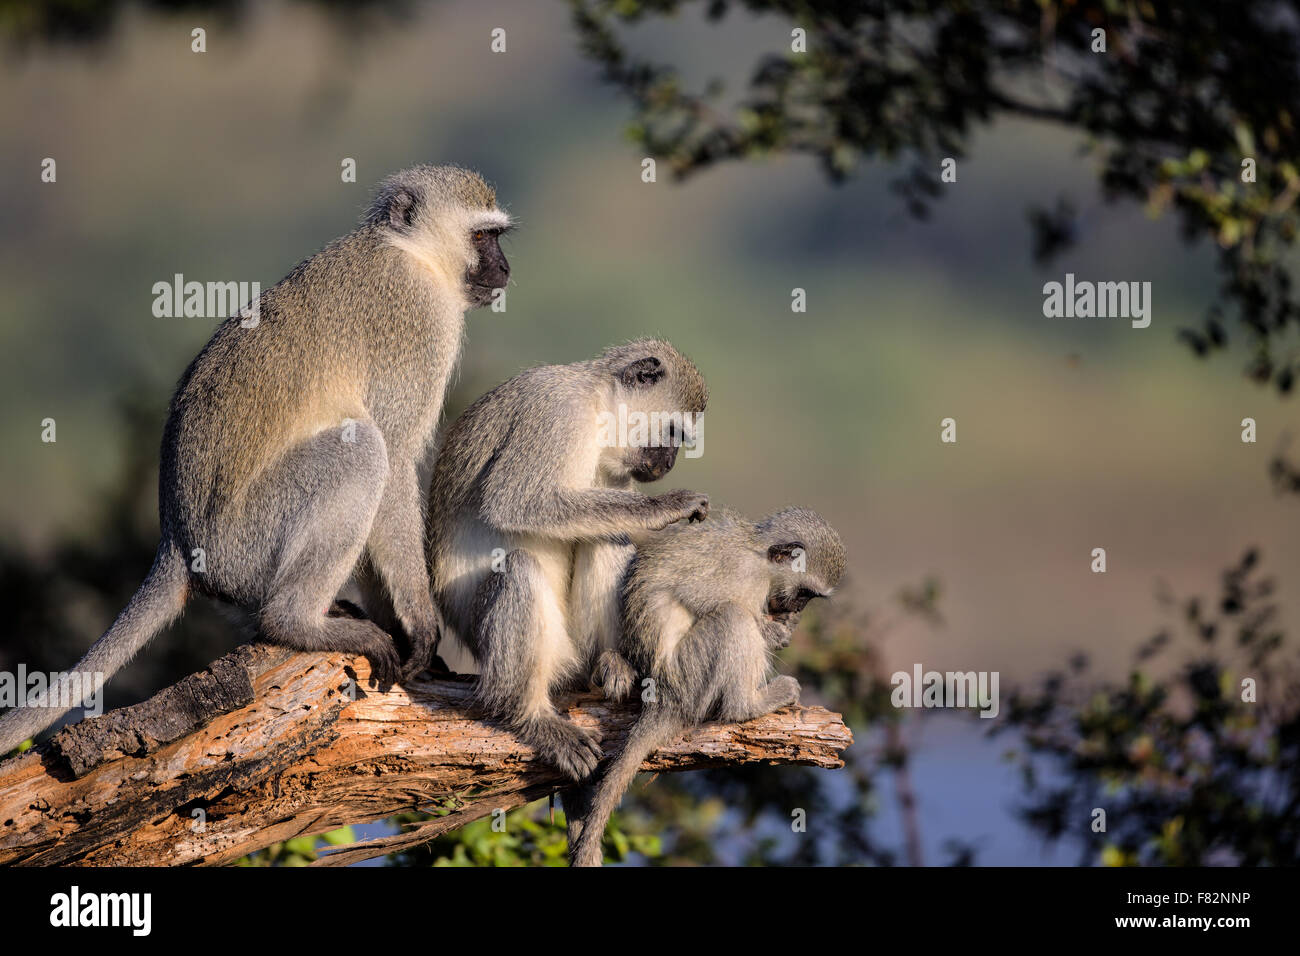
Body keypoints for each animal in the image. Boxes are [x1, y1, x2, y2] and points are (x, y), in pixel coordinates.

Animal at [0, 165, 510, 758]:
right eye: (483, 236)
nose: (505, 268)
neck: (411, 253)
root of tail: (178, 543)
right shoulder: (416, 323)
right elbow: (397, 458)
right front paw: (422, 626)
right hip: (247, 541)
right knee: (362, 452)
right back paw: (298, 623)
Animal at [426, 339, 710, 781]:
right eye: (675, 432)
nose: (668, 464)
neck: (595, 407)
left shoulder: (614, 469)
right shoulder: (555, 415)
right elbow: (515, 502)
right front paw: (664, 506)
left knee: (607, 536)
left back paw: (610, 661)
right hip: (541, 649)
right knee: (520, 569)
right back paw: (531, 717)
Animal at [566, 506, 845, 866]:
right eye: (805, 594)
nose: (796, 611)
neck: (758, 550)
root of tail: (664, 696)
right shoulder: (743, 576)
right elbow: (705, 601)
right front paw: (774, 632)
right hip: (690, 672)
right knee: (732, 617)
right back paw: (749, 704)